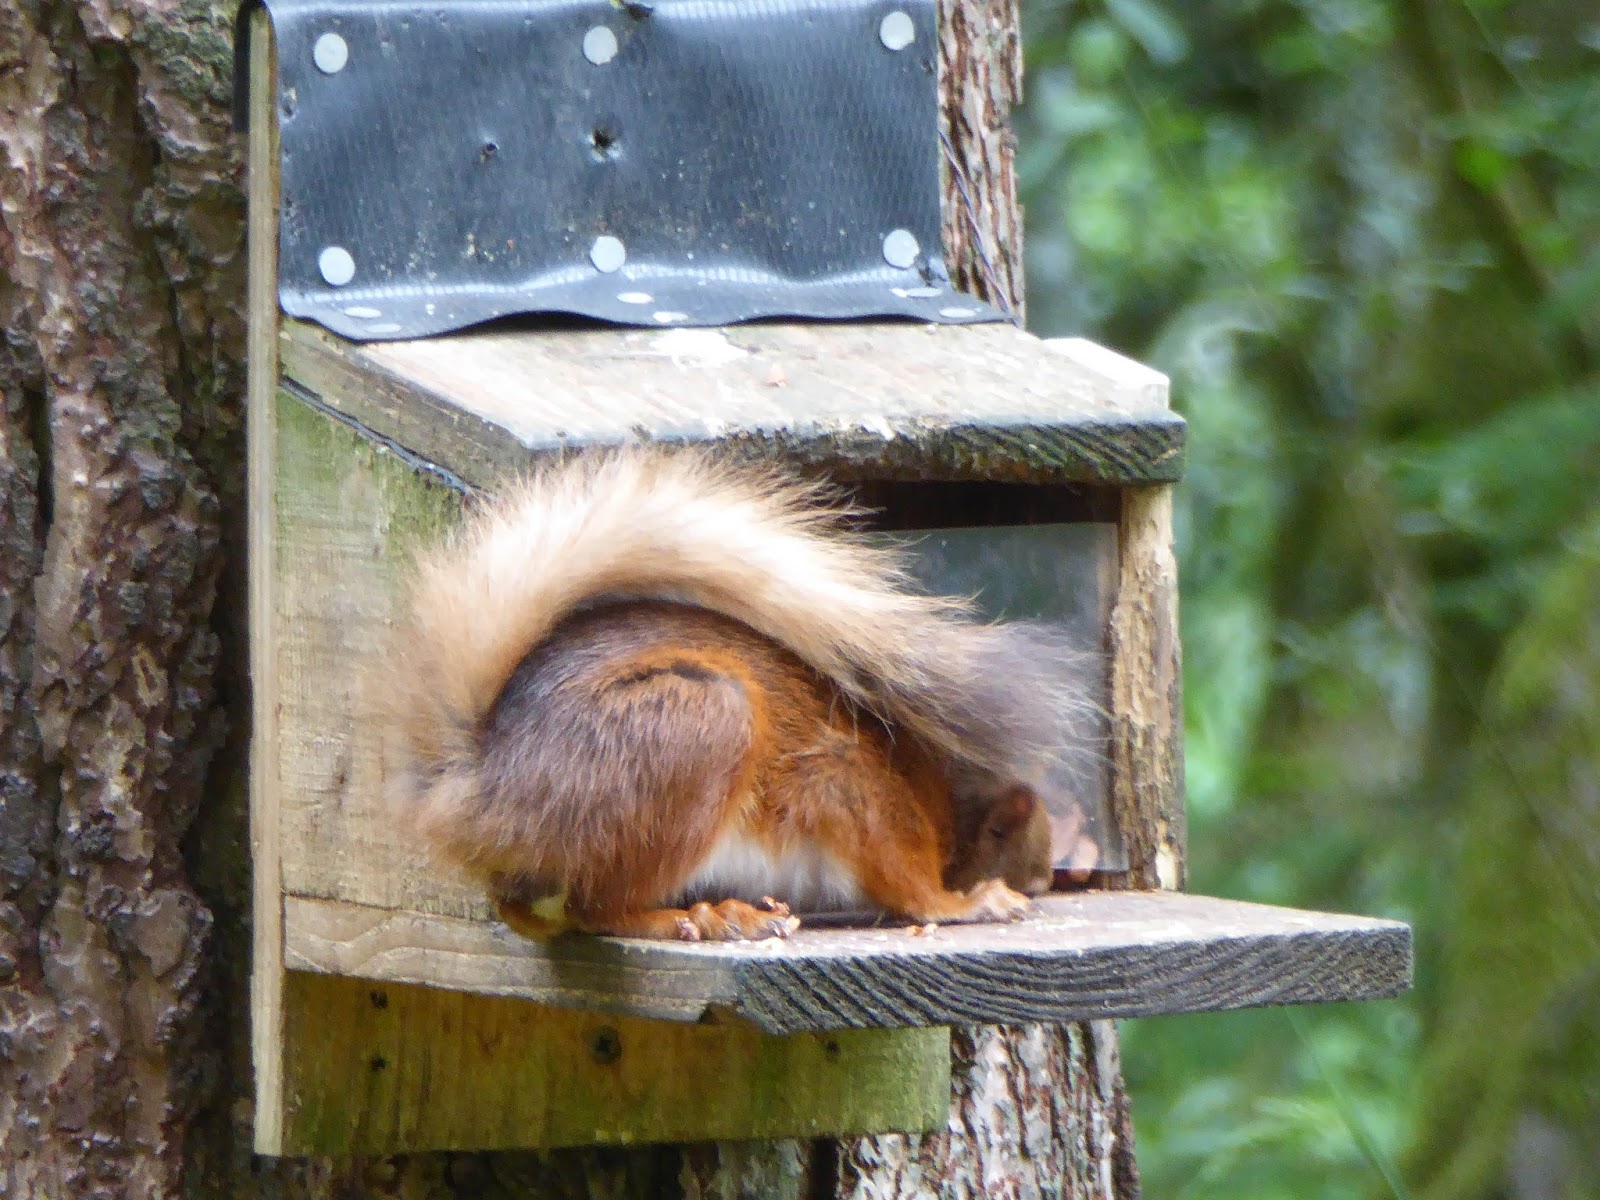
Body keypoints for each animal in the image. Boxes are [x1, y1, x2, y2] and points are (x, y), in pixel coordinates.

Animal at [387, 448, 1083, 942]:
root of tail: (475, 781)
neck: (941, 794)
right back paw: (697, 918)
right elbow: (906, 878)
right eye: (1021, 853)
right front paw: (967, 903)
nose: (1049, 883)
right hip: (694, 724)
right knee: (597, 909)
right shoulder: (854, 788)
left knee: (525, 910)